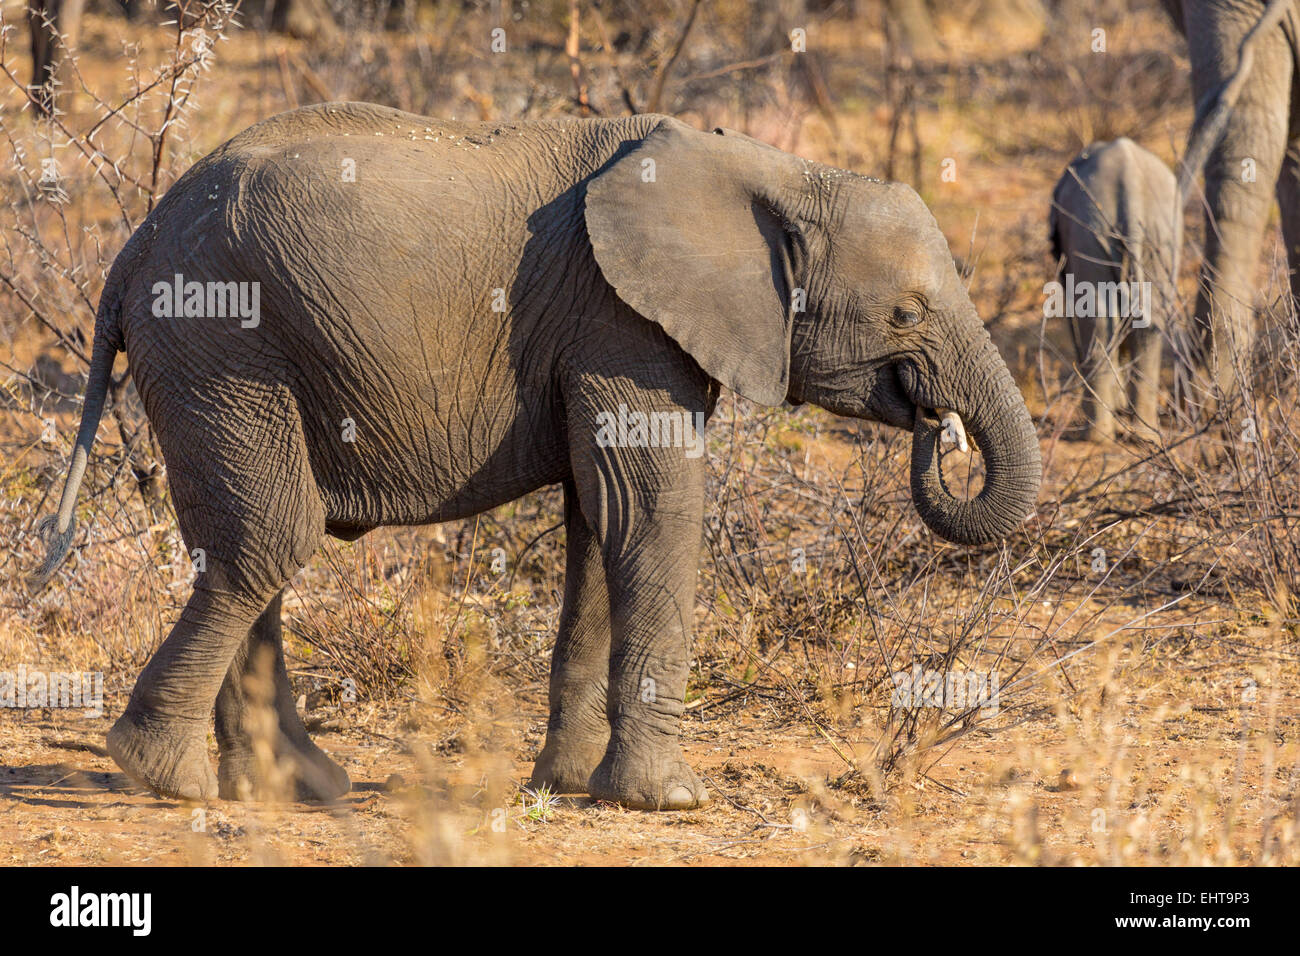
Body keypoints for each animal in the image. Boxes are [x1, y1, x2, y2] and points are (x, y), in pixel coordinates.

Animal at [33, 102, 1041, 810]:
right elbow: (651, 511)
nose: (937, 424)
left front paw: (566, 786)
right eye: (906, 312)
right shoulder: (622, 320)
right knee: (267, 540)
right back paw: (165, 778)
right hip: (219, 342)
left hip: (217, 353)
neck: (775, 172)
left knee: (253, 541)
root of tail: (131, 248)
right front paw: (669, 800)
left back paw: (293, 789)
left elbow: (600, 523)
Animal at [1049, 139, 1180, 442]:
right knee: (1147, 321)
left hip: (1088, 230)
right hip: (1159, 235)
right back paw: (1144, 435)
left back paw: (1097, 435)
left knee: (1096, 321)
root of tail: (1129, 183)